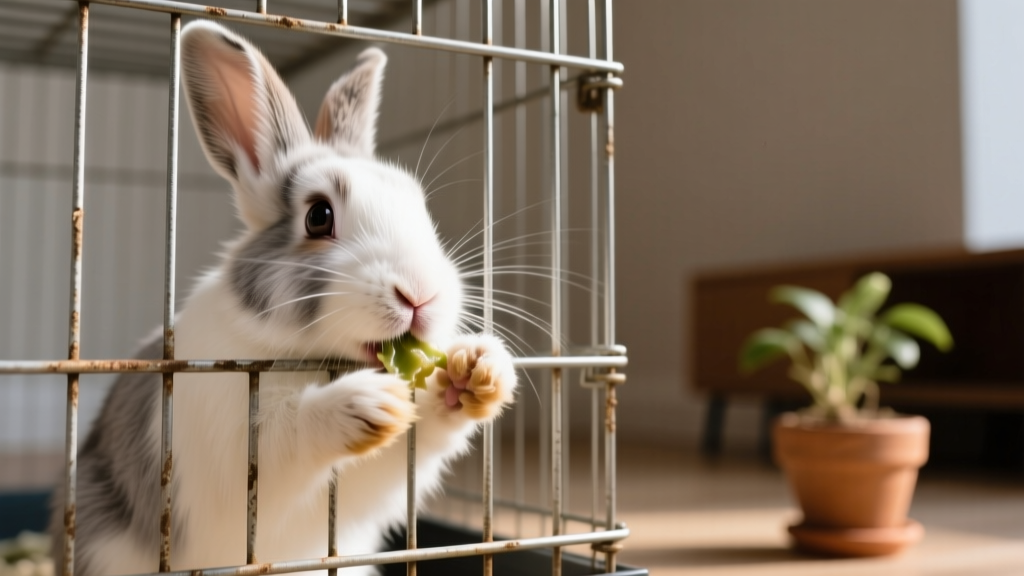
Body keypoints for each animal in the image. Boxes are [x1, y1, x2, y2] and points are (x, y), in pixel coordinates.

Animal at [48, 20, 517, 576]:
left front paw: (478, 370)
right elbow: (280, 439)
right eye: (318, 216)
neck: (309, 359)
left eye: (418, 205)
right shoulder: (228, 446)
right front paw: (365, 405)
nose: (420, 294)